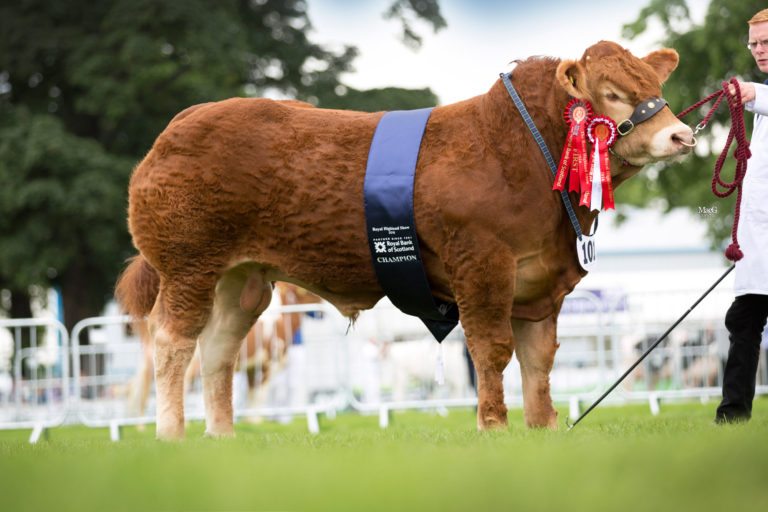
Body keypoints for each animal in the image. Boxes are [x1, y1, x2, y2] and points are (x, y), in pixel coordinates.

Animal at [116, 41, 694, 439]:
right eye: (611, 93)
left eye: (653, 87)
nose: (682, 135)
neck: (525, 154)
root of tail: (181, 124)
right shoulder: (482, 265)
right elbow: (491, 349)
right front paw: (493, 426)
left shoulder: (541, 283)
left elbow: (539, 361)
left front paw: (543, 427)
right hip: (188, 266)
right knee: (172, 344)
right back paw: (171, 434)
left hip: (242, 281)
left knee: (218, 350)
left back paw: (221, 436)